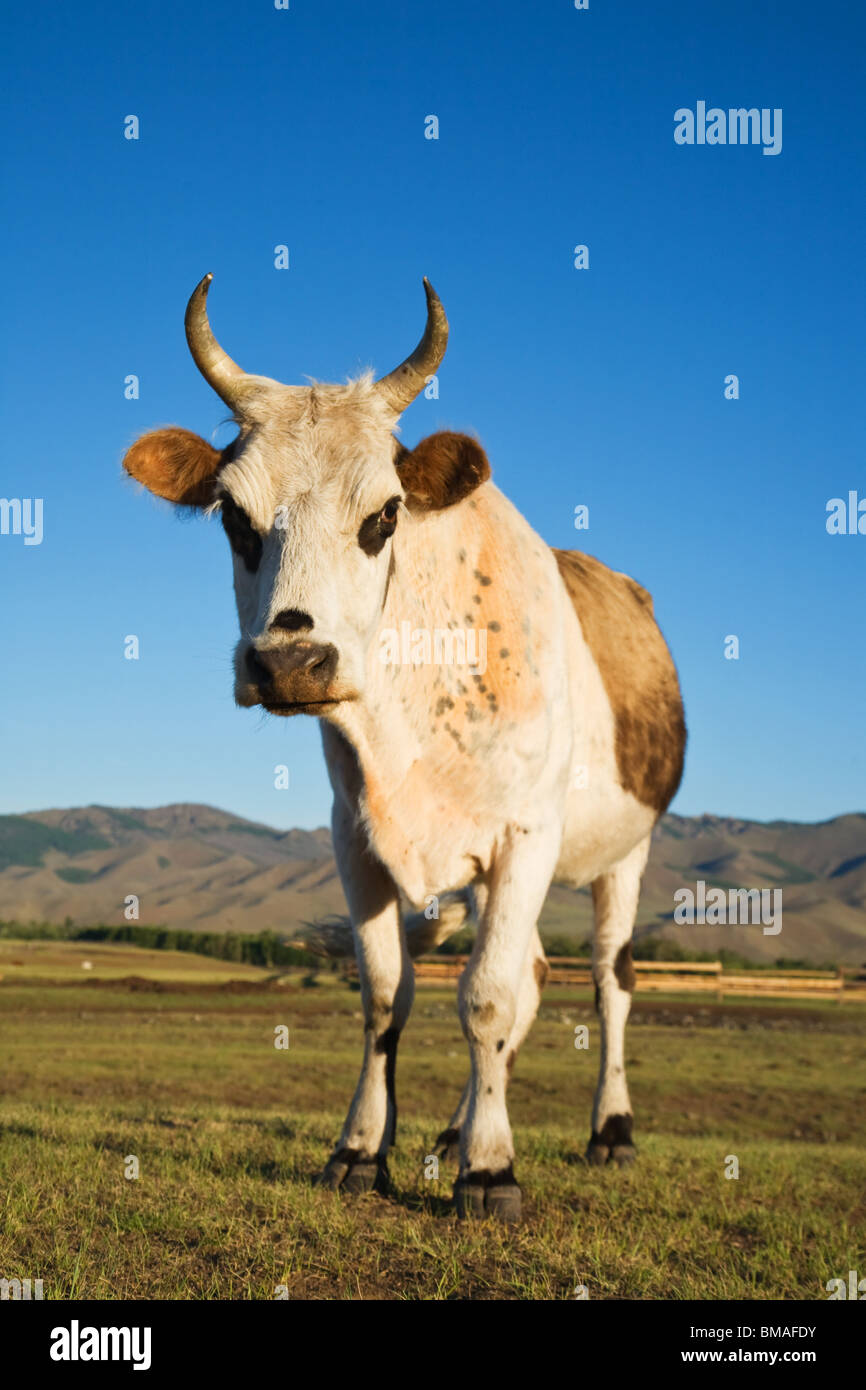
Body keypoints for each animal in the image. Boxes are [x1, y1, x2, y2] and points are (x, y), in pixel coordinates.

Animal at [122, 275, 686, 1221]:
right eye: (233, 515)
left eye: (384, 513)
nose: (292, 662)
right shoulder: (357, 842)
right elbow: (388, 994)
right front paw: (362, 1151)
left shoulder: (526, 838)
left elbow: (488, 999)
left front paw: (491, 1173)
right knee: (534, 974)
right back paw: (456, 1132)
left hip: (624, 853)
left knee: (609, 982)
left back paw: (609, 1132)